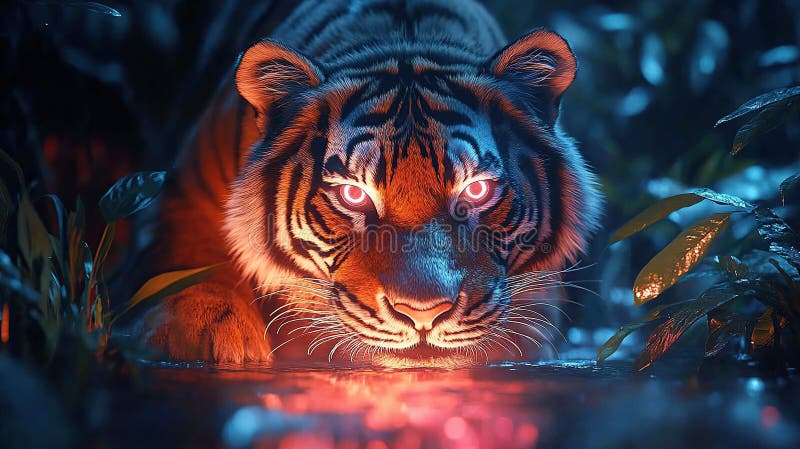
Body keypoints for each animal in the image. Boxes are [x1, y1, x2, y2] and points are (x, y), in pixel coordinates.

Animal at [137, 0, 602, 367]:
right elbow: (188, 259)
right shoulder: (186, 196)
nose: (422, 315)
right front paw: (206, 332)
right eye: (353, 194)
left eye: (476, 190)